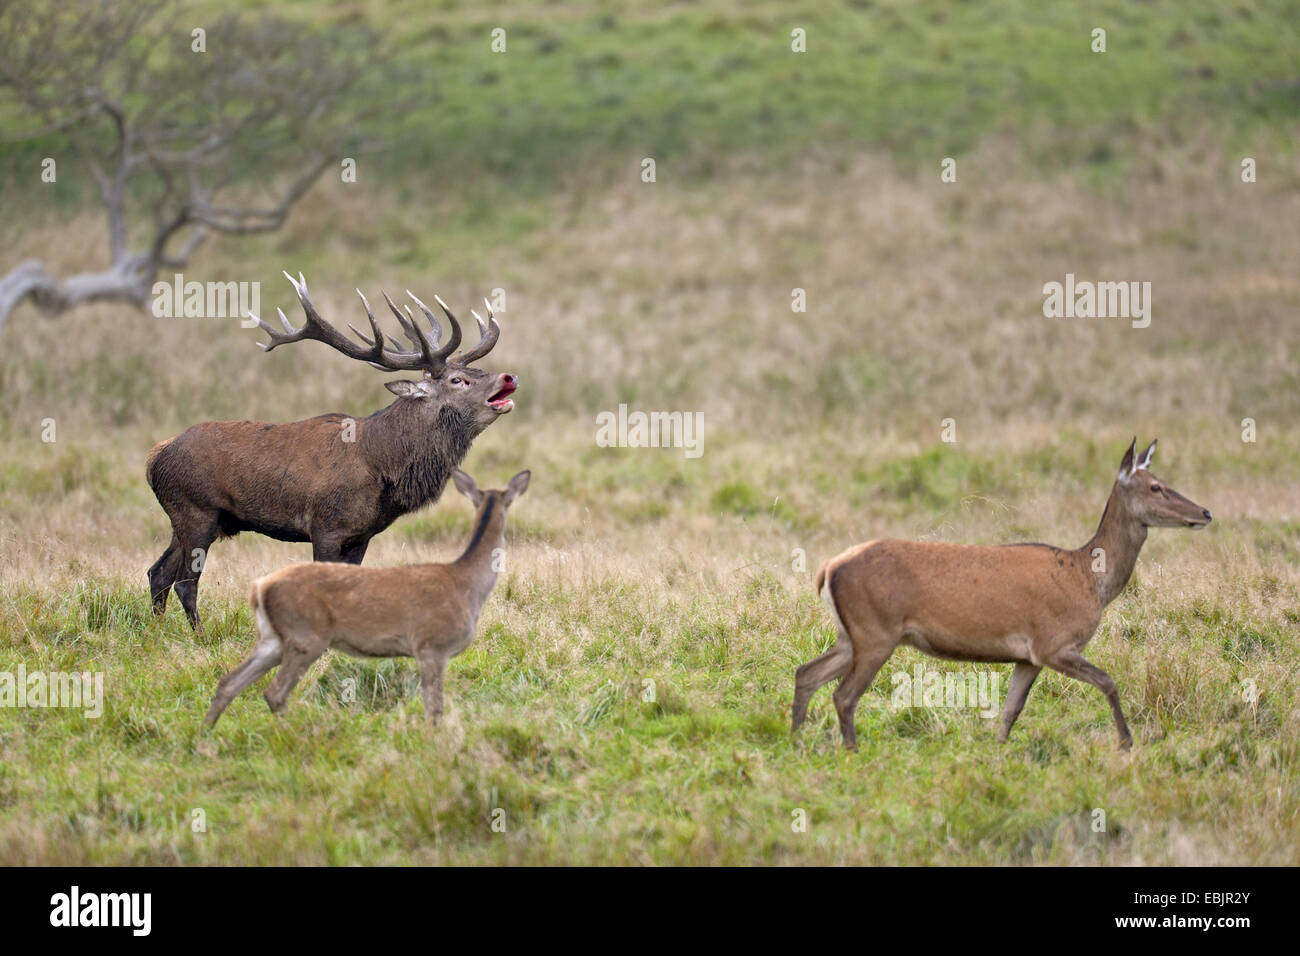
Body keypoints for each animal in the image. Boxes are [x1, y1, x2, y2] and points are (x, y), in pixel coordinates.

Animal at [147, 272, 518, 633]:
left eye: (477, 371)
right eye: (458, 380)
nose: (509, 377)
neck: (381, 461)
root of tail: (154, 457)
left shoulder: (361, 534)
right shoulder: (326, 526)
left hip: (187, 518)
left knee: (158, 572)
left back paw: (156, 633)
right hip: (196, 510)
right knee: (185, 582)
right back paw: (201, 637)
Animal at [204, 468, 530, 727]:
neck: (467, 587)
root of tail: (259, 588)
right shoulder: (431, 645)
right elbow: (433, 709)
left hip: (272, 639)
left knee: (228, 682)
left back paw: (205, 736)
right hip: (305, 635)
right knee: (274, 692)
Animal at [792, 439, 1212, 752]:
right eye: (1156, 486)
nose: (1205, 513)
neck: (1089, 581)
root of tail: (828, 567)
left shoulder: (1027, 657)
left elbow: (1012, 709)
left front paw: (997, 751)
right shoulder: (1053, 643)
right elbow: (1108, 681)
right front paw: (1126, 742)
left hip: (852, 636)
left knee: (807, 673)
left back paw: (795, 741)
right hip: (876, 632)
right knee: (844, 695)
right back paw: (851, 750)